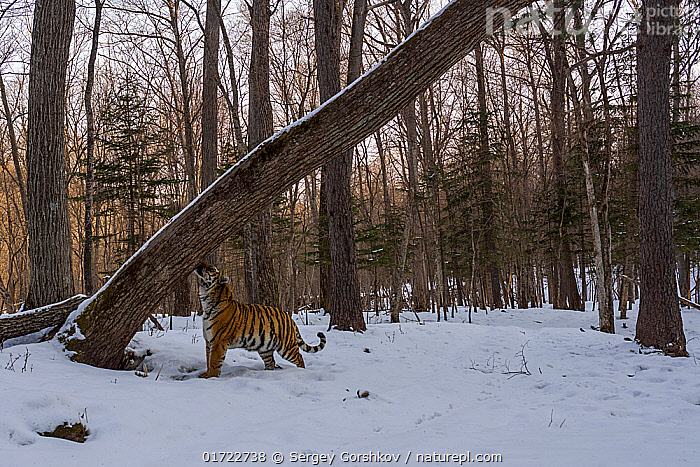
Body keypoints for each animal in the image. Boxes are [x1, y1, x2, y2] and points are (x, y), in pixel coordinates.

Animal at [193, 262, 326, 378]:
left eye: (211, 268)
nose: (200, 262)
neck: (206, 300)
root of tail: (288, 317)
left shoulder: (218, 342)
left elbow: (214, 362)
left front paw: (211, 377)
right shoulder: (209, 341)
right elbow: (208, 360)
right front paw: (206, 374)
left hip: (286, 347)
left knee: (299, 357)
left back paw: (301, 371)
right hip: (265, 348)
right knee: (271, 362)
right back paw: (266, 374)